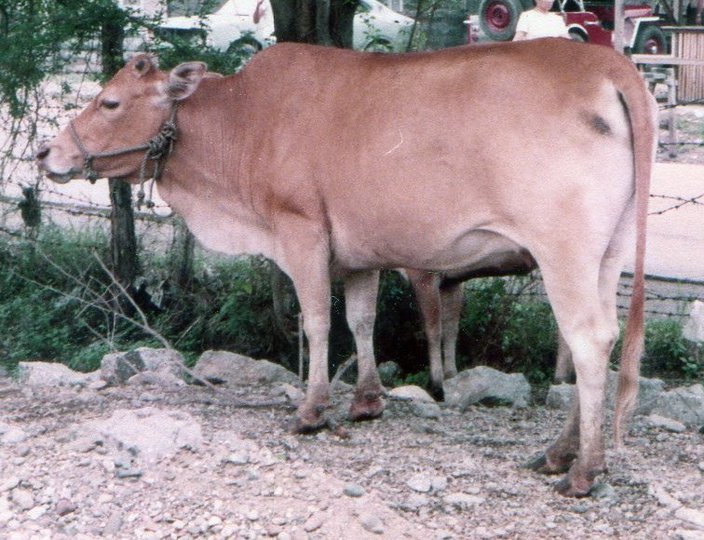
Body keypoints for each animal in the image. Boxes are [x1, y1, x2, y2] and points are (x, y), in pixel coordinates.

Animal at [37, 38, 656, 496]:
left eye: (110, 102)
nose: (46, 153)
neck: (243, 122)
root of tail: (606, 63)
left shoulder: (301, 232)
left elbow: (317, 322)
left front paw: (312, 410)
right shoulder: (360, 253)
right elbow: (361, 321)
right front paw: (366, 402)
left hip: (564, 251)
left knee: (587, 339)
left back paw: (583, 469)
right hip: (607, 255)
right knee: (591, 341)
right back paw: (560, 452)